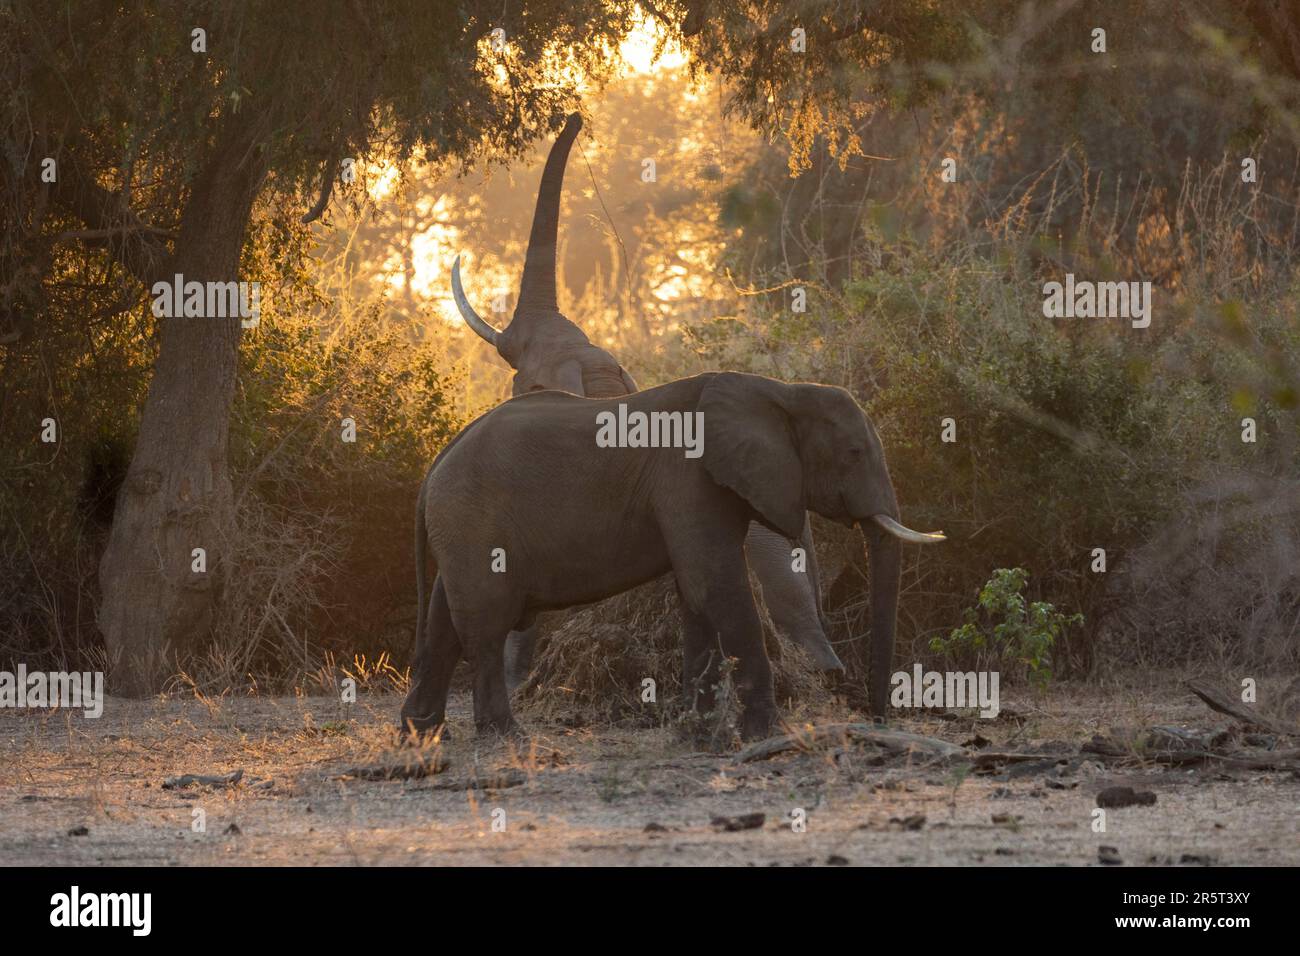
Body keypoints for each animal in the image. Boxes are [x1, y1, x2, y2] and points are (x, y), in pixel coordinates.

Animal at [398, 370, 944, 741]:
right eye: (854, 453)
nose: (877, 717)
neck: (779, 390)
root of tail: (434, 467)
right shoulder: (688, 477)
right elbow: (715, 585)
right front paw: (765, 733)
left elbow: (697, 596)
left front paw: (697, 729)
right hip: (473, 521)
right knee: (486, 625)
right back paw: (504, 735)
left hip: (461, 528)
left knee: (445, 621)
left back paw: (421, 732)